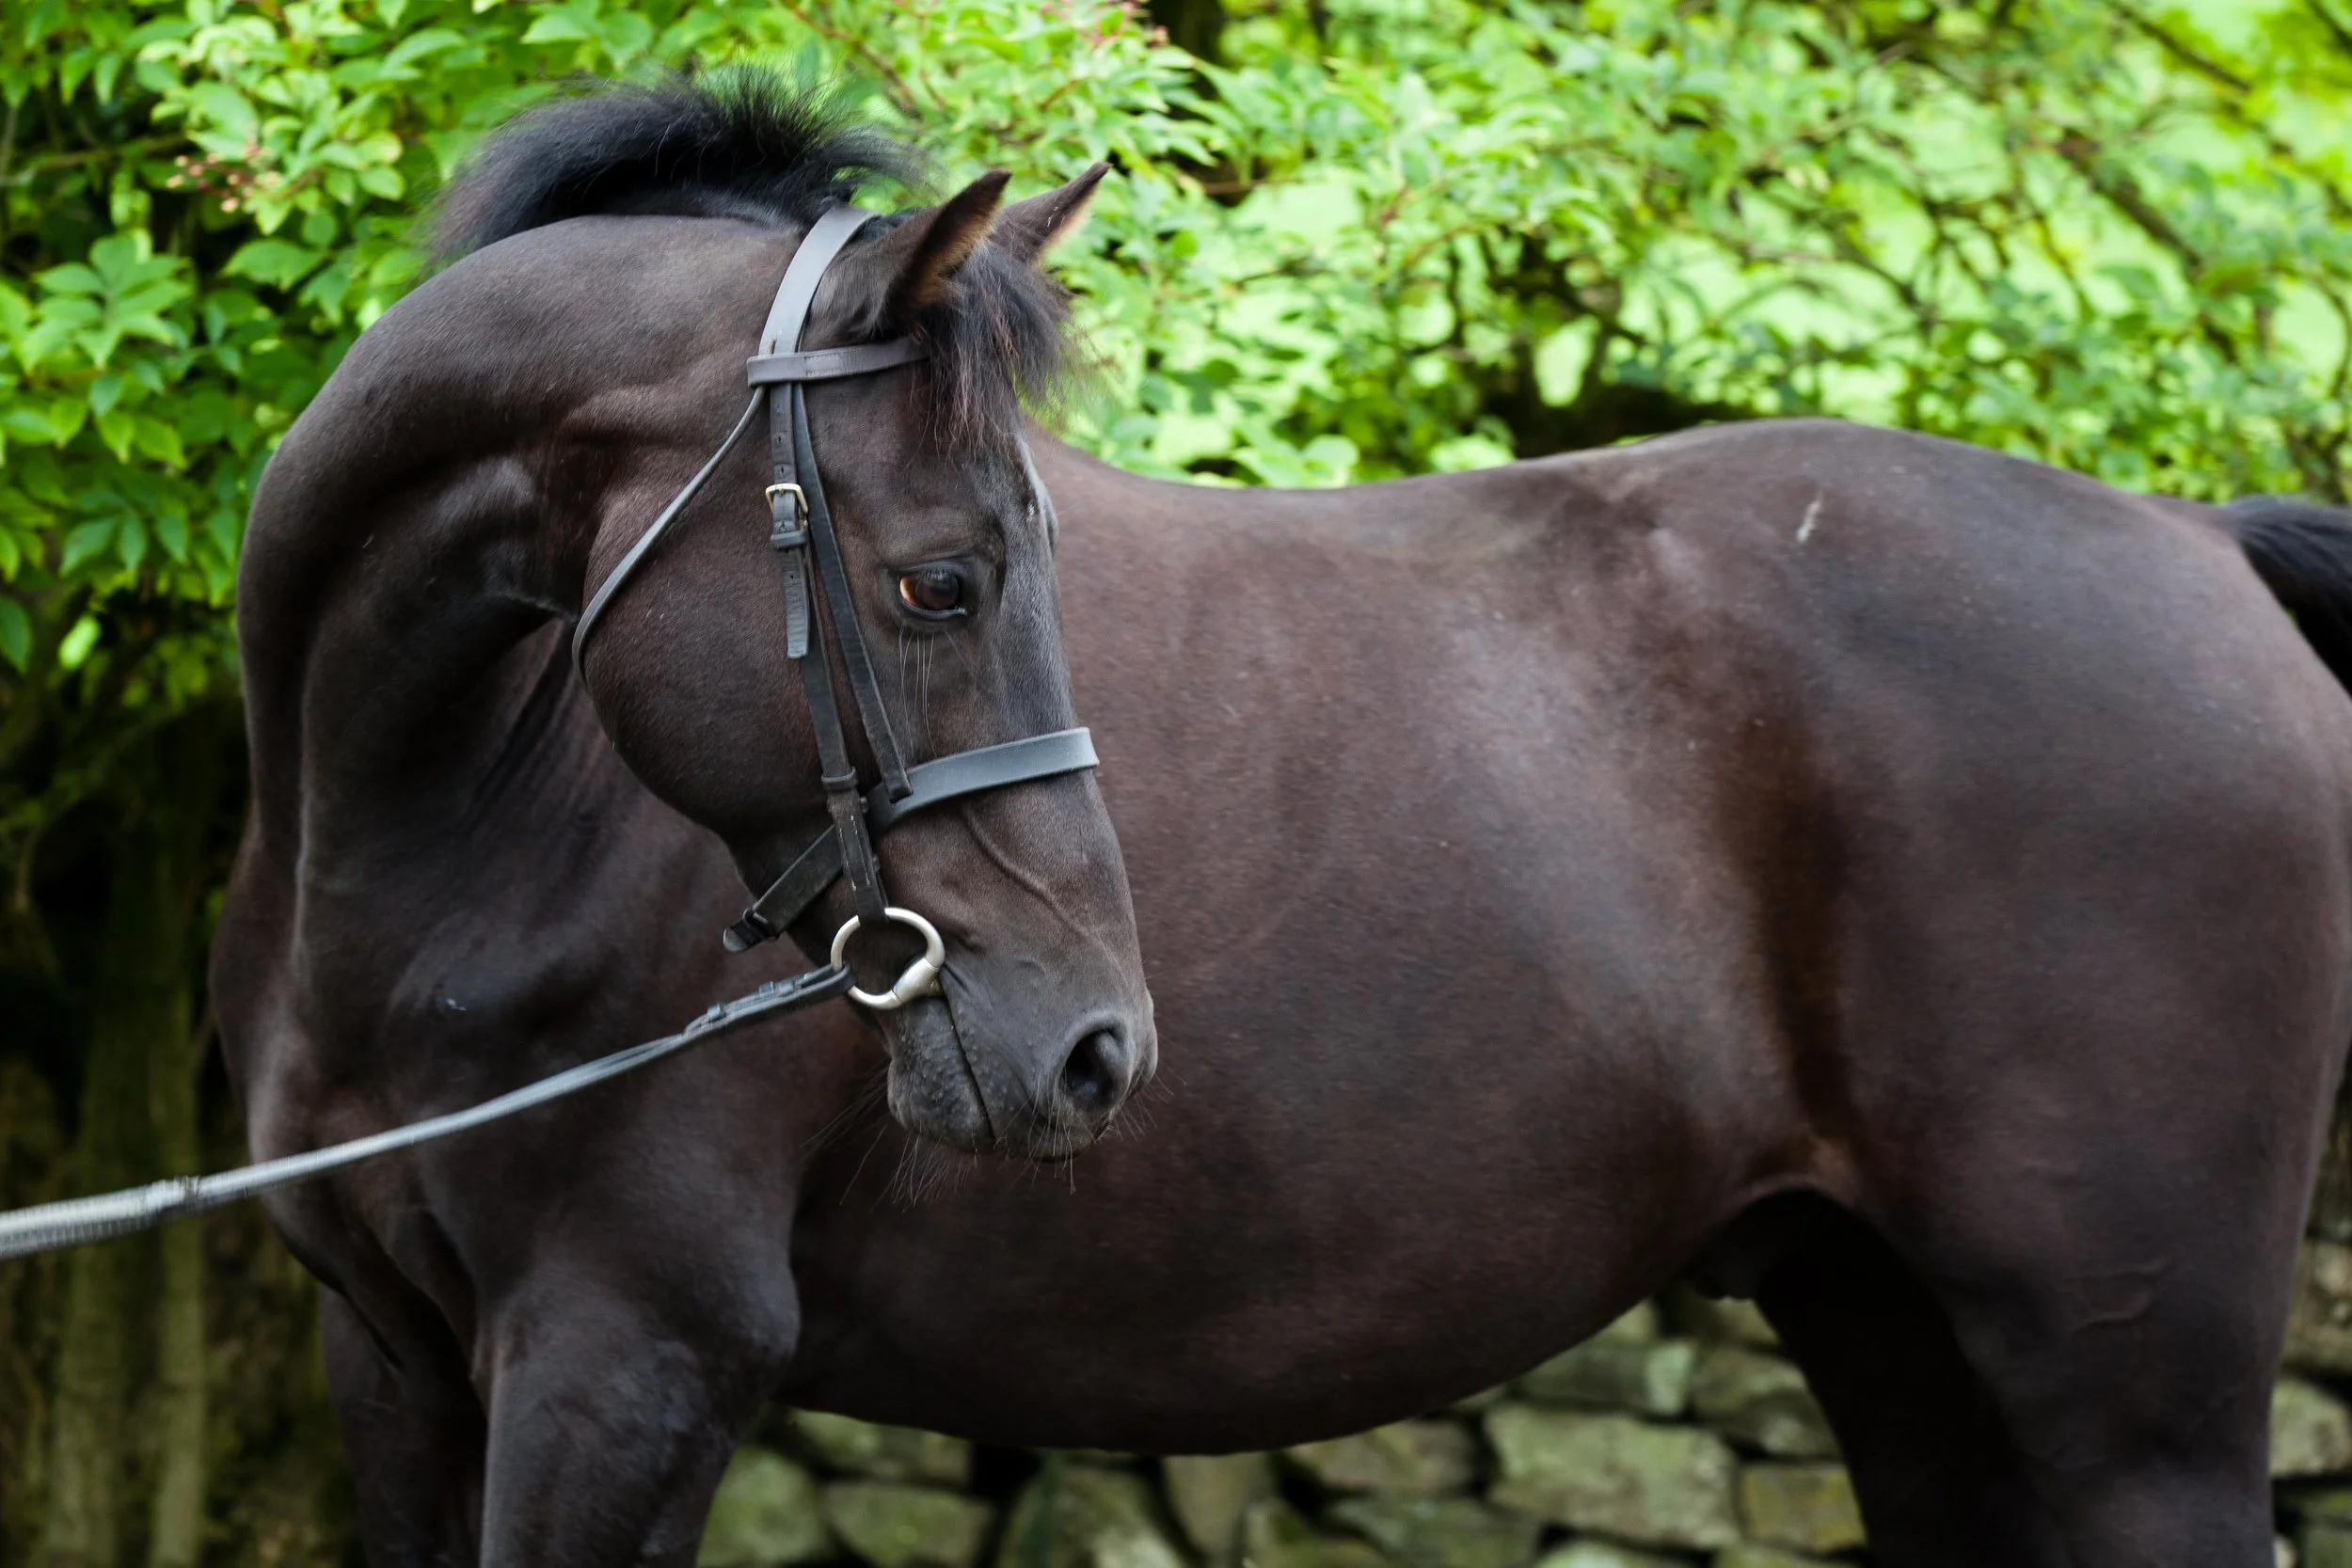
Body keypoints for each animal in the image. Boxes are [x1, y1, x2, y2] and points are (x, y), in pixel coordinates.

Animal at [213, 74, 2352, 1568]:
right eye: (941, 580)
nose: (1093, 1043)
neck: (455, 834)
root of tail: (2196, 540)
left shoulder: (627, 1356)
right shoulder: (396, 1367)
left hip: (2130, 1392)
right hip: (1897, 1335)